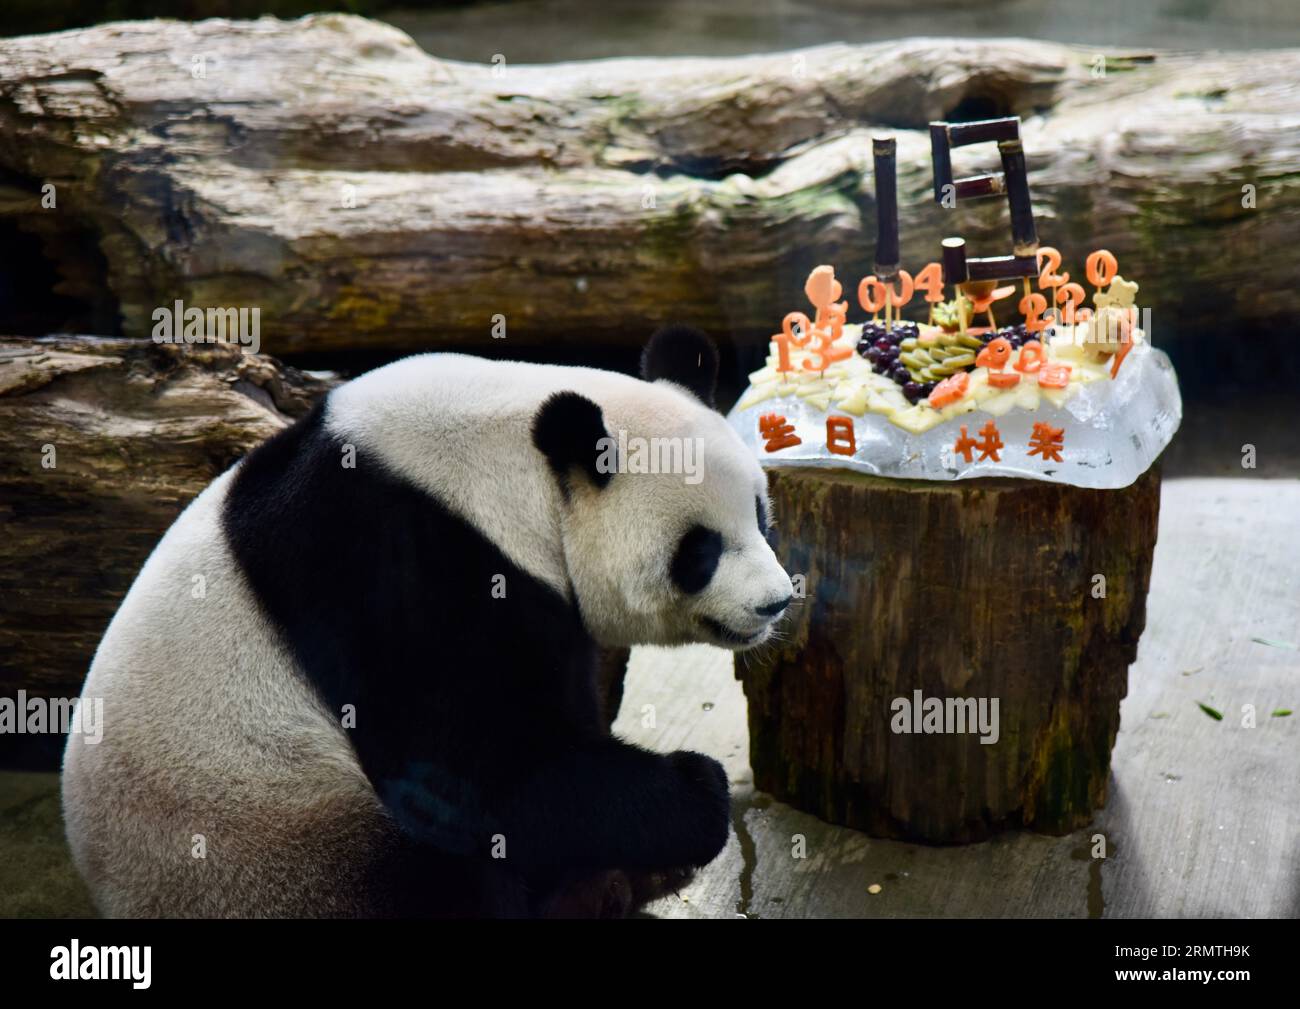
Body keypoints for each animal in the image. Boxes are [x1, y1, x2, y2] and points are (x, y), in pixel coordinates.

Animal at [62, 325, 793, 918]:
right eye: (699, 550)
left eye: (761, 516)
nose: (775, 602)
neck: (508, 464)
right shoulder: (399, 567)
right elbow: (476, 766)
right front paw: (695, 791)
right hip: (268, 842)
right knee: (429, 882)